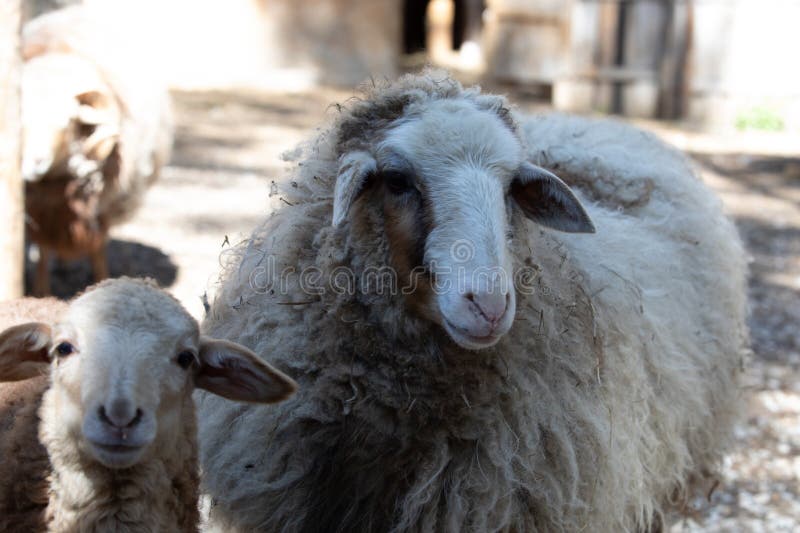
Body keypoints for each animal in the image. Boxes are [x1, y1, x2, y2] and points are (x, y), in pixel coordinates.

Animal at [21, 5, 173, 296]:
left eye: (67, 122)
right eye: (19, 122)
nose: (33, 163)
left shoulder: (104, 205)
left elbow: (98, 249)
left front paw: (101, 281)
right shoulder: (39, 209)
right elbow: (43, 250)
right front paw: (41, 290)